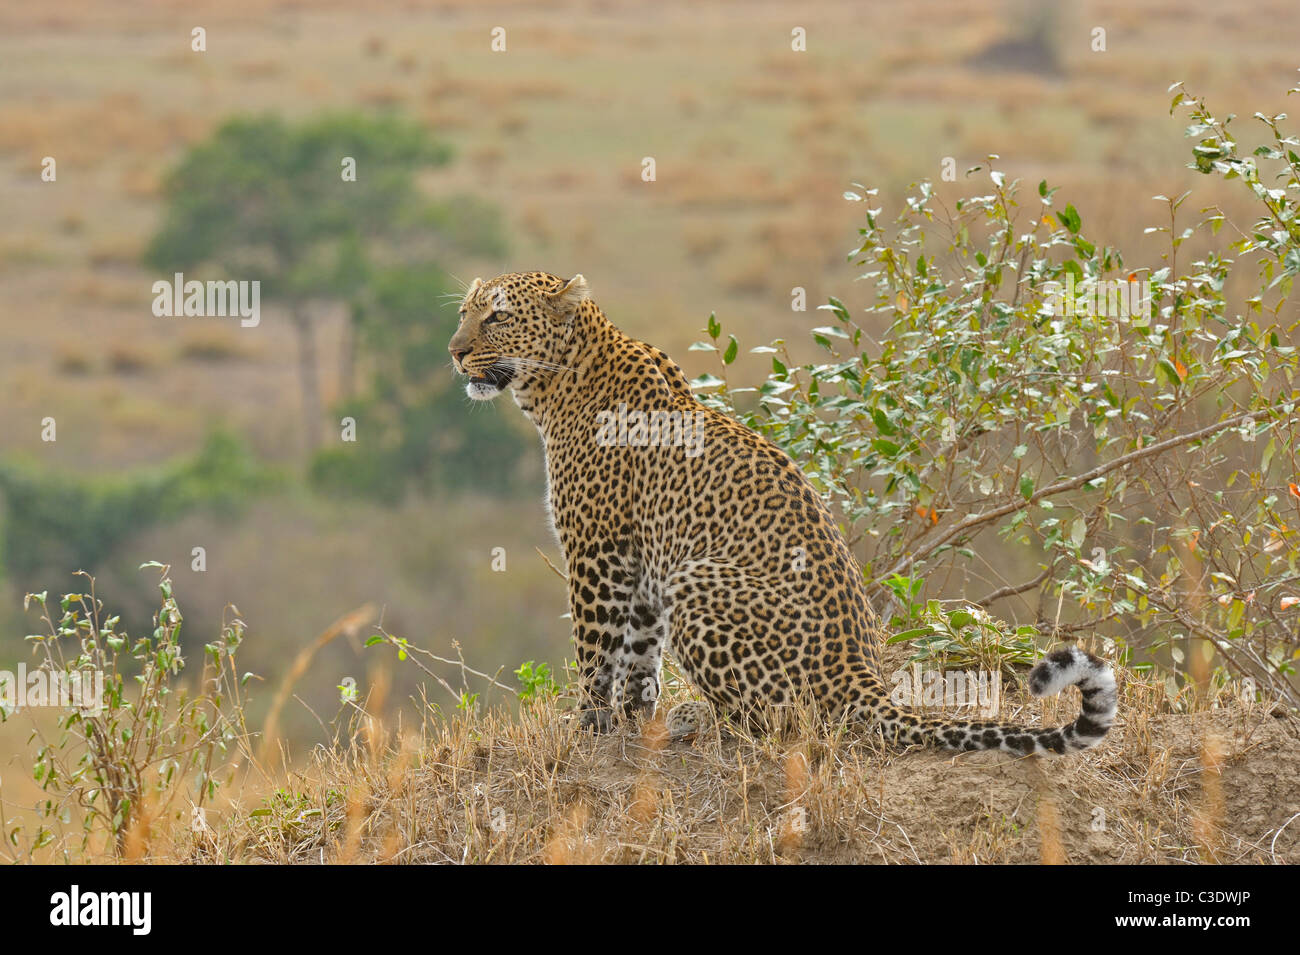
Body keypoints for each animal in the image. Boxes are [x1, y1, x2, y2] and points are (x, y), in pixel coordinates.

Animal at [448, 270, 1117, 755]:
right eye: (464, 312)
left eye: (497, 316)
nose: (455, 353)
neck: (559, 386)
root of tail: (861, 673)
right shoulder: (641, 560)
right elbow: (639, 652)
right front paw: (635, 719)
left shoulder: (598, 549)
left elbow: (595, 649)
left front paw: (587, 725)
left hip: (698, 579)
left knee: (783, 723)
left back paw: (703, 724)